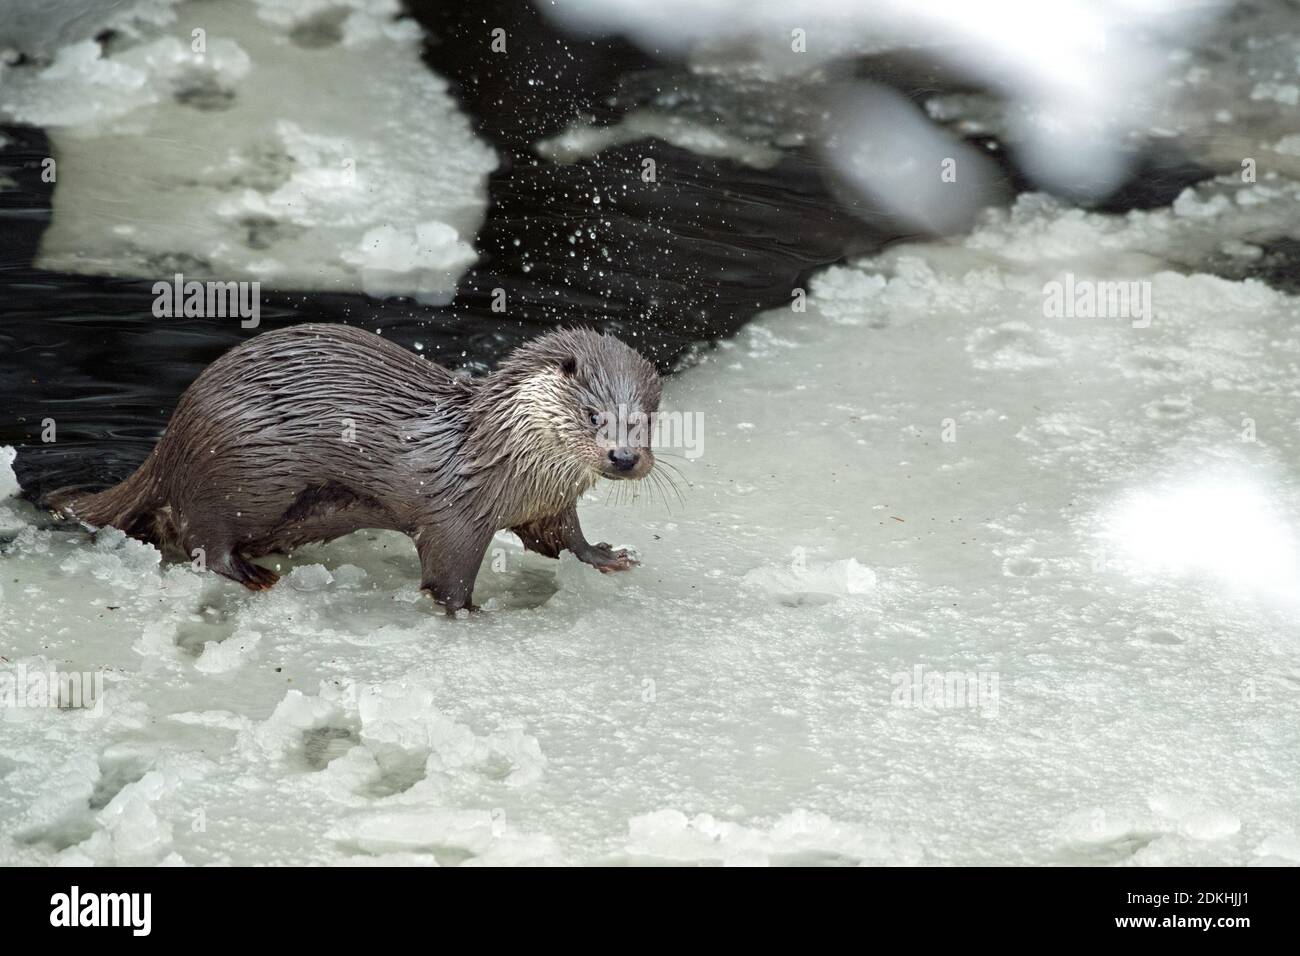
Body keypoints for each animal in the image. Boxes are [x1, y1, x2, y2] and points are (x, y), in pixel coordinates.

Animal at [47, 323, 661, 613]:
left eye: (647, 417)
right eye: (593, 414)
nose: (624, 458)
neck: (503, 459)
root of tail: (172, 435)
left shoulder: (549, 505)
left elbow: (563, 541)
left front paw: (606, 556)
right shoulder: (456, 516)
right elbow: (447, 574)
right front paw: (472, 614)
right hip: (236, 473)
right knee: (202, 539)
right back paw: (252, 574)